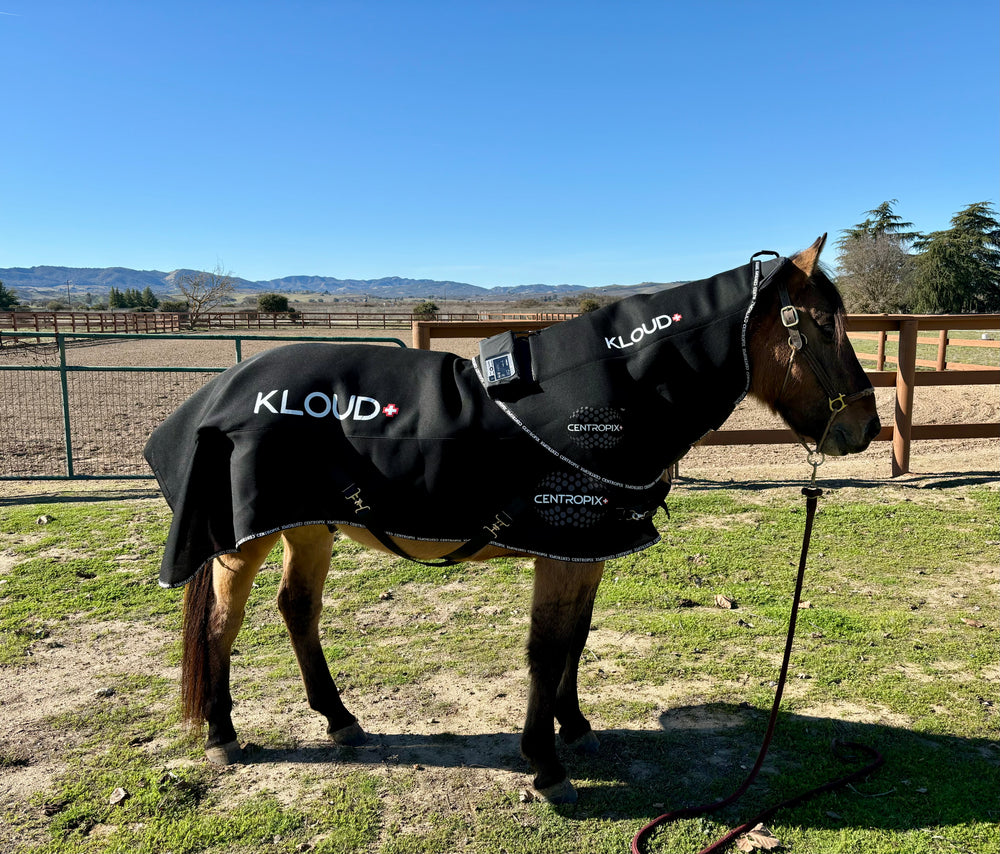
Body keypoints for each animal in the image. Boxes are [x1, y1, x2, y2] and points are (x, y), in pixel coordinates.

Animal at [145, 235, 880, 804]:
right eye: (819, 323)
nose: (865, 428)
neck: (608, 391)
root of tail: (225, 386)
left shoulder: (586, 551)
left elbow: (575, 642)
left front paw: (575, 727)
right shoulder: (560, 551)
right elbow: (546, 650)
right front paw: (546, 766)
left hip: (306, 527)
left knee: (297, 609)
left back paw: (339, 718)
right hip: (245, 539)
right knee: (221, 623)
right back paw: (223, 736)